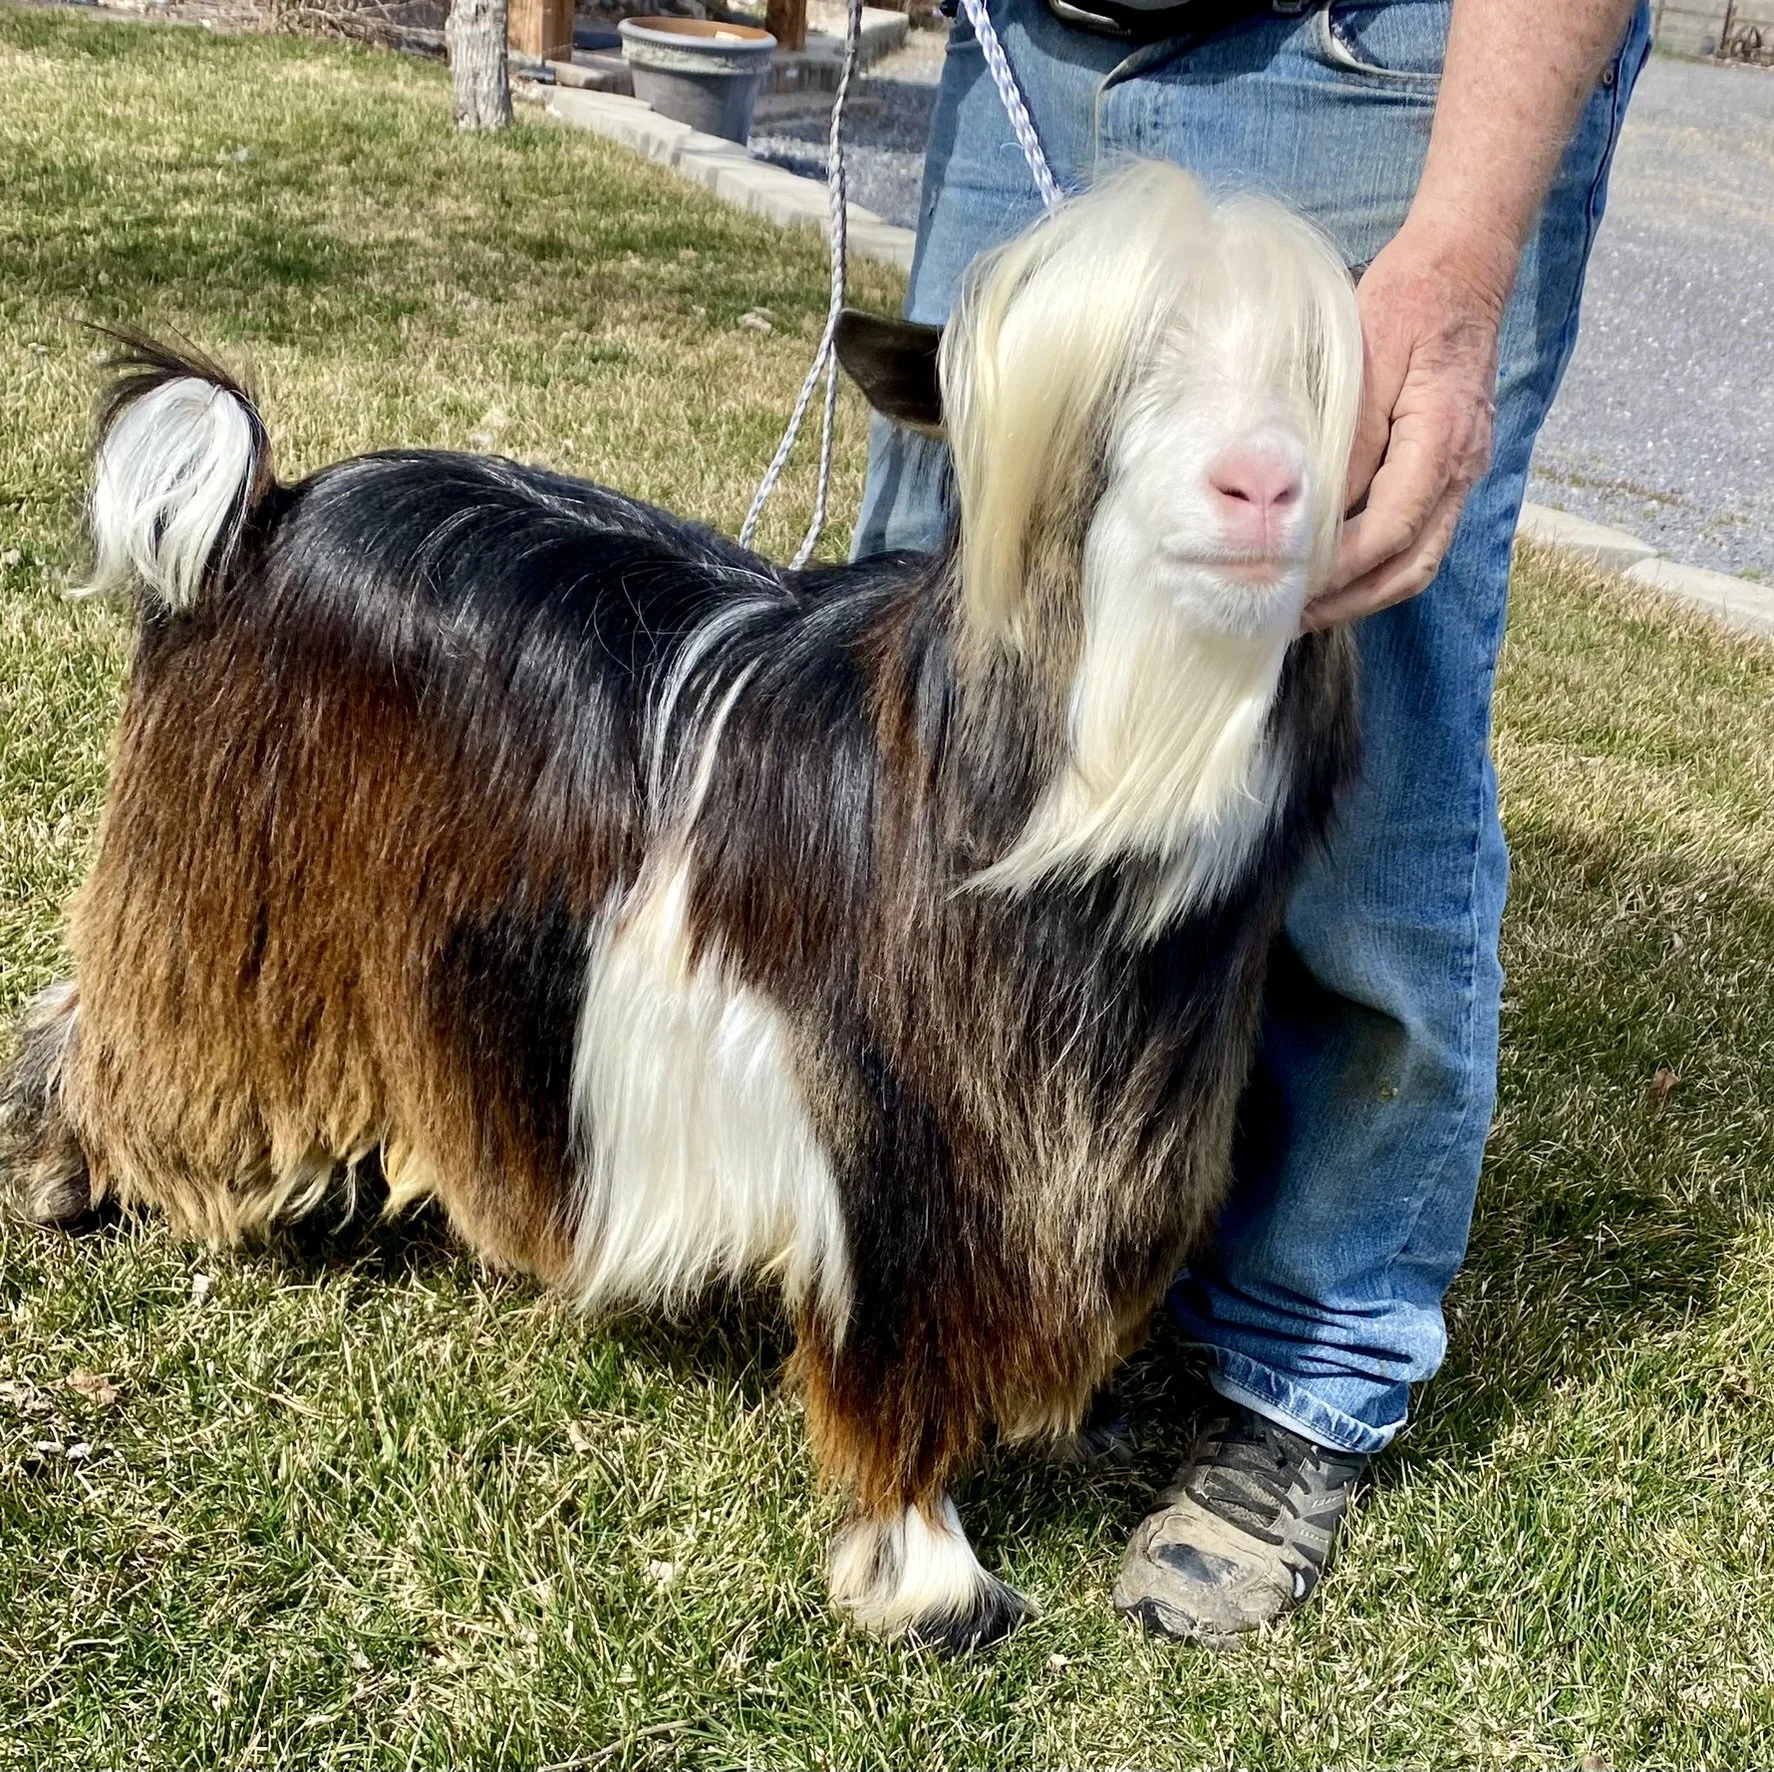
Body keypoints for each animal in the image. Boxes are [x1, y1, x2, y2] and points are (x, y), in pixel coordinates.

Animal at [1, 162, 1362, 1650]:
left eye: (1305, 381)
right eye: (1106, 400)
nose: (1263, 483)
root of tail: (269, 509)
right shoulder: (893, 1144)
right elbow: (894, 1352)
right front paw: (927, 1576)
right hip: (227, 879)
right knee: (133, 1015)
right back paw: (68, 1172)